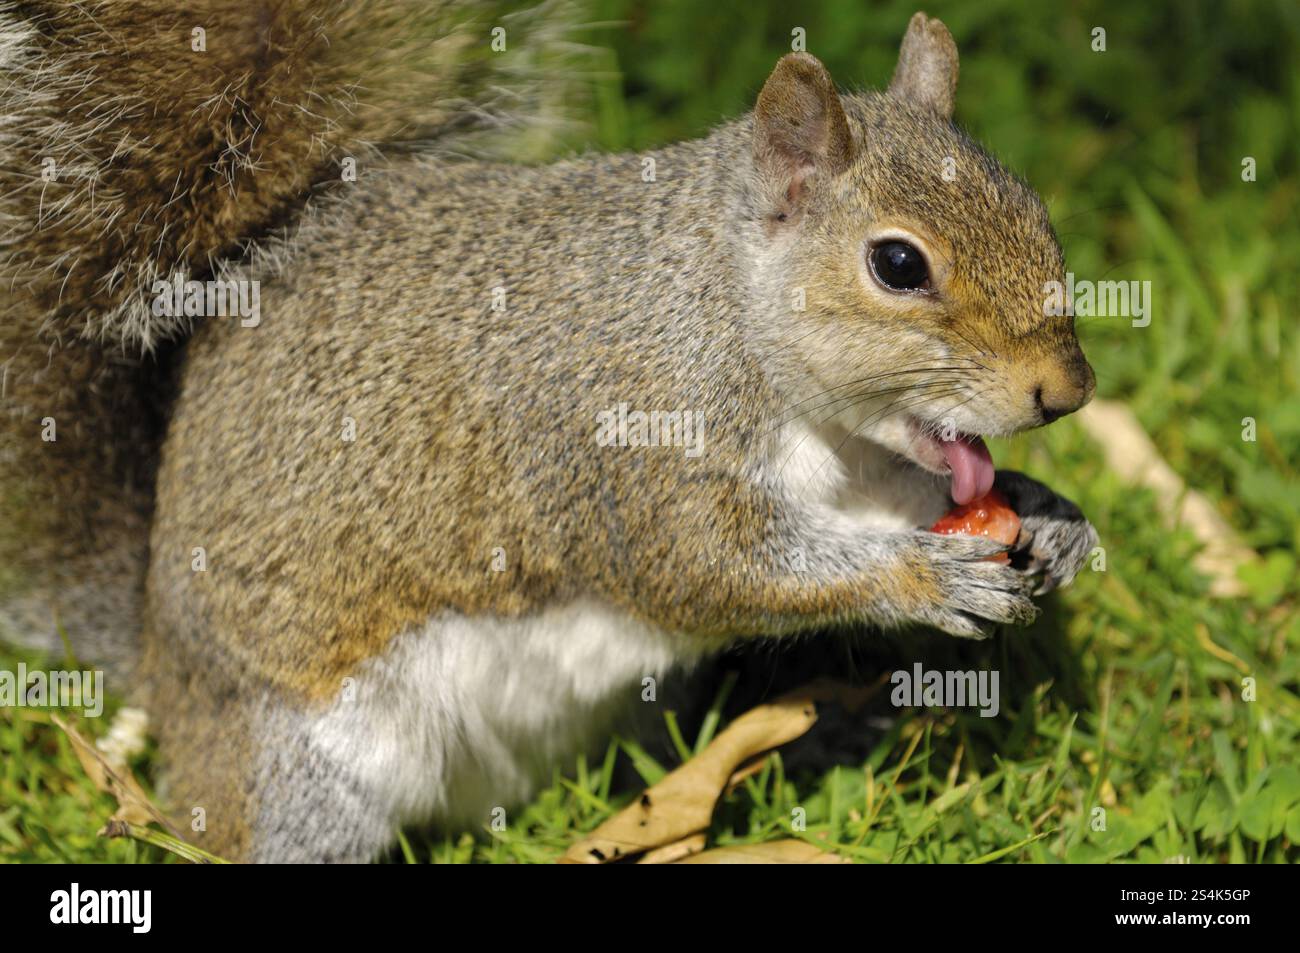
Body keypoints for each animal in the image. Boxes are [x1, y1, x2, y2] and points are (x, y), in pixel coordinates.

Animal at [2, 4, 1099, 862]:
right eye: (898, 265)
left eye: (1032, 204)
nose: (1068, 391)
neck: (723, 306)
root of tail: (156, 655)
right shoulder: (624, 442)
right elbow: (700, 566)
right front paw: (926, 577)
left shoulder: (861, 463)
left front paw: (1050, 517)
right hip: (297, 764)